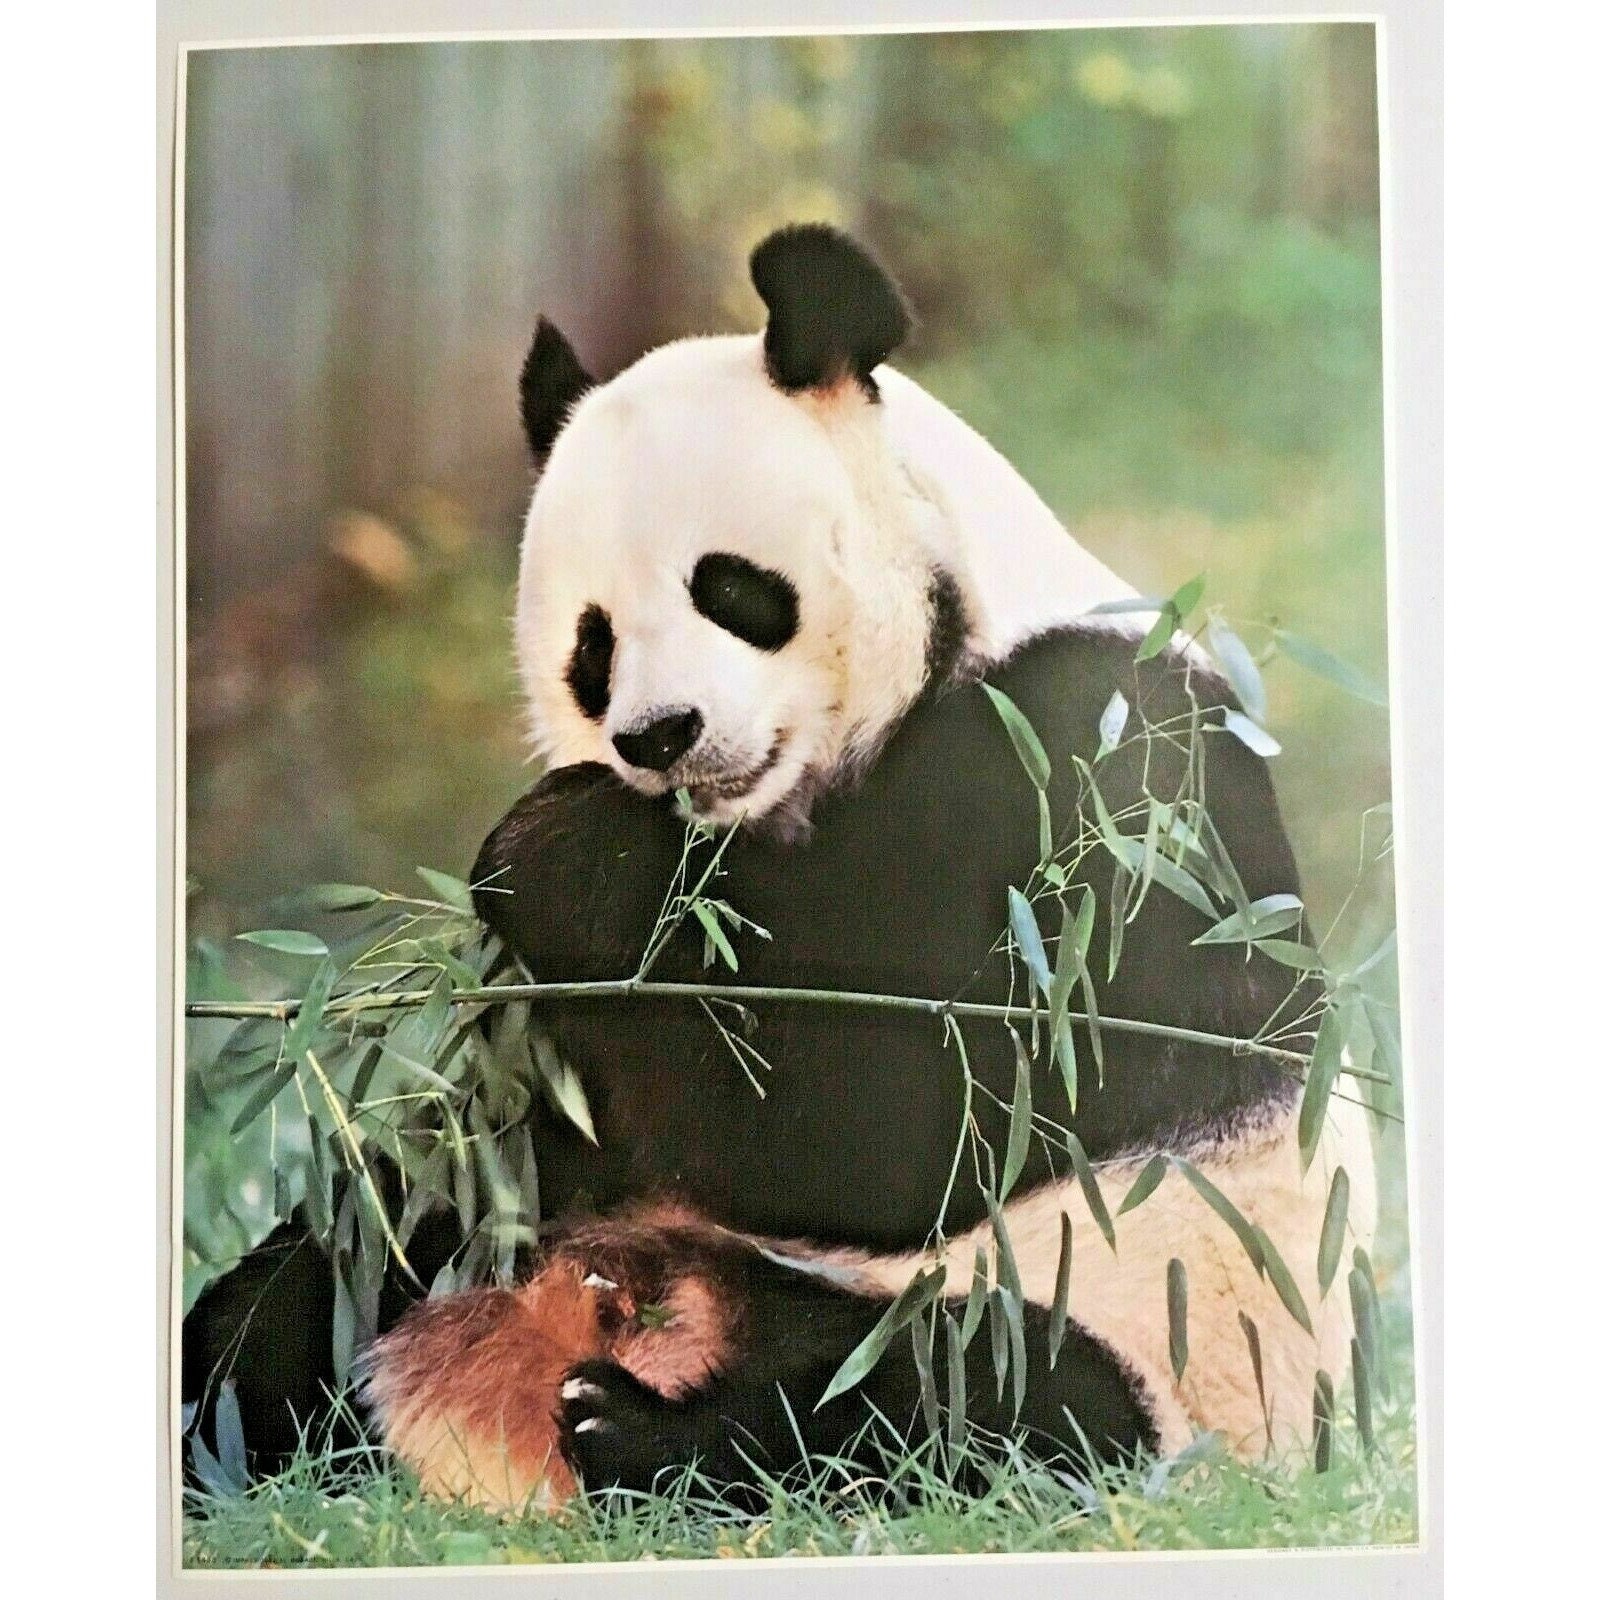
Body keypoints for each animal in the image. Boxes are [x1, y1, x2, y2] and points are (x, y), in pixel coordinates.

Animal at [189, 224, 1377, 1511]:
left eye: (730, 588)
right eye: (592, 645)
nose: (658, 735)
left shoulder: (1108, 768)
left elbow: (918, 1108)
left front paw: (561, 857)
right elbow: (537, 1114)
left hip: (1139, 1323)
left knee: (970, 1402)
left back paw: (646, 1434)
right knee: (336, 1269)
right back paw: (234, 1422)